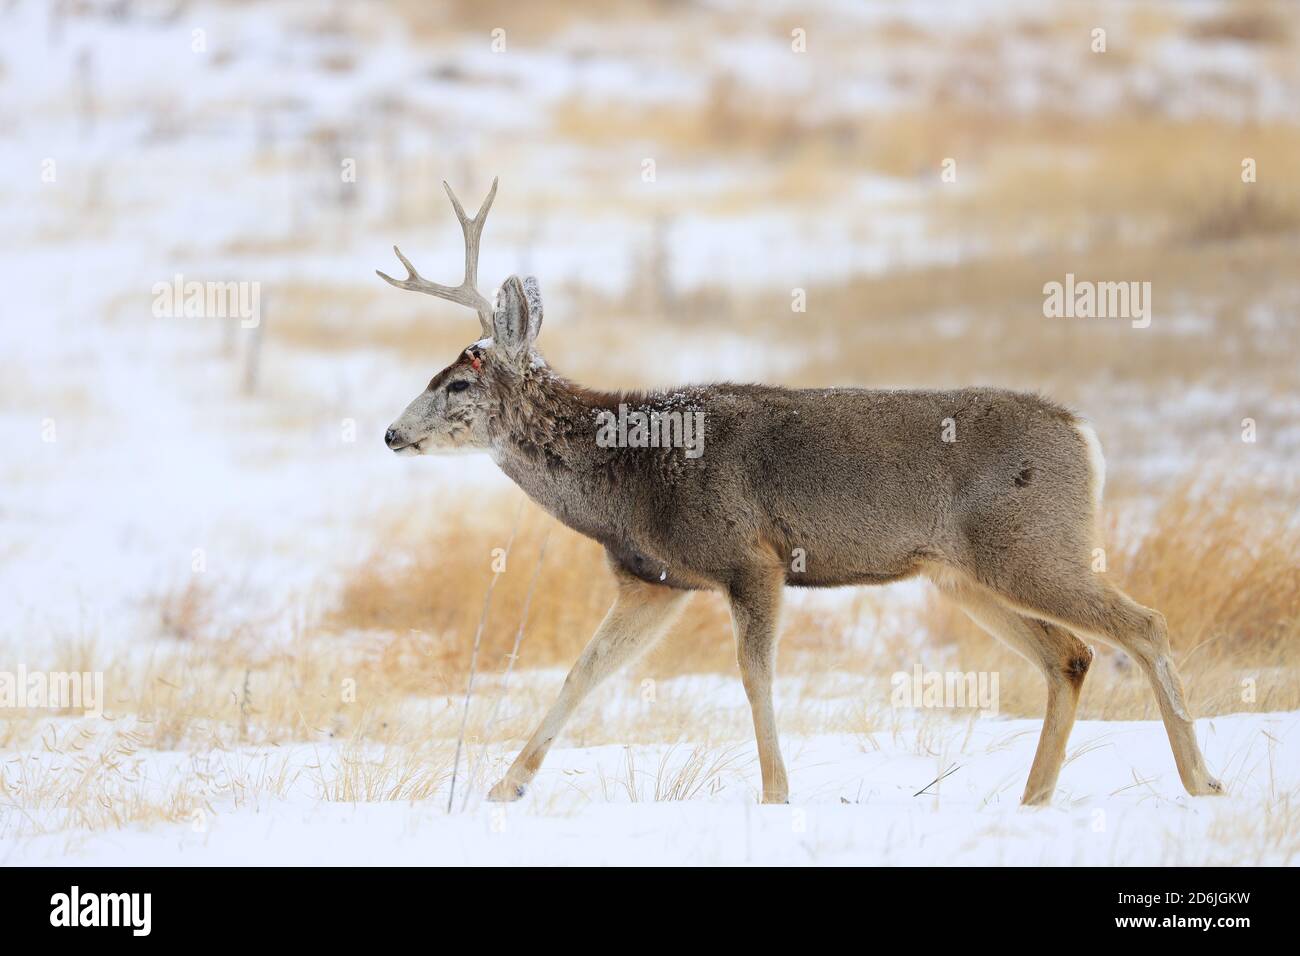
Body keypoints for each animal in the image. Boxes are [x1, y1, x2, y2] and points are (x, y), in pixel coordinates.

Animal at [378, 179, 1223, 806]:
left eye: (456, 382)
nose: (390, 434)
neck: (628, 476)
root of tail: (1085, 434)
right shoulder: (655, 580)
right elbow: (585, 670)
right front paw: (505, 787)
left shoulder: (748, 557)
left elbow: (755, 676)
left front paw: (777, 793)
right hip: (965, 575)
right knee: (1069, 655)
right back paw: (1035, 797)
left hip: (1033, 547)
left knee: (1142, 625)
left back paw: (1201, 782)